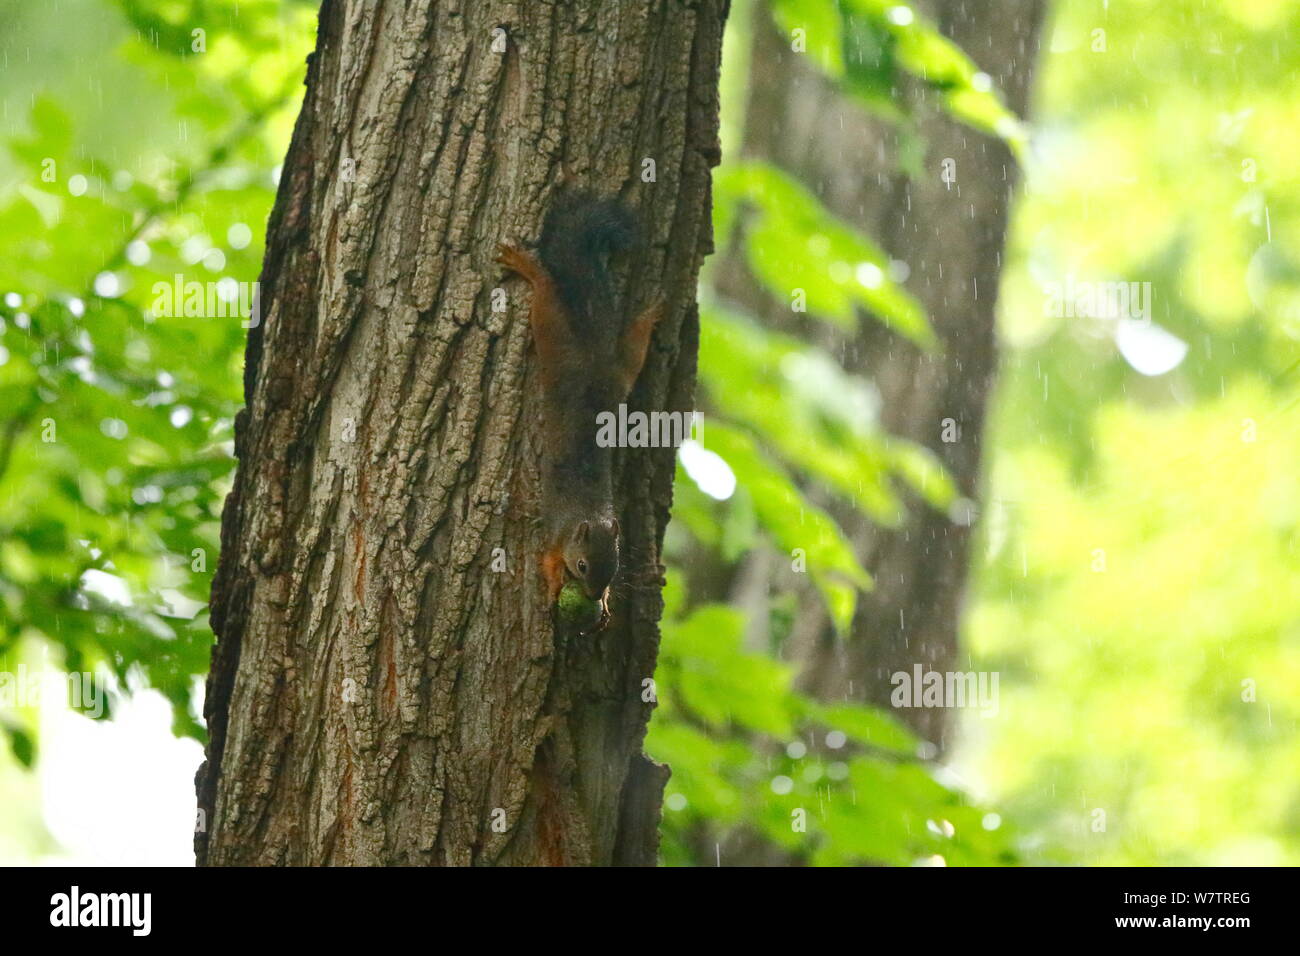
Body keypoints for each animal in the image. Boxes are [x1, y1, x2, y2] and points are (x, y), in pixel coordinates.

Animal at [497, 189, 663, 631]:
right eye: (584, 566)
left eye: (615, 568)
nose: (591, 594)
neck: (584, 517)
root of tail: (590, 359)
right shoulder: (556, 537)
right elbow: (549, 563)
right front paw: (557, 587)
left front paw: (604, 605)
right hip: (552, 330)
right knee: (546, 293)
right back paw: (526, 267)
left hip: (619, 374)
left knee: (632, 351)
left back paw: (648, 318)